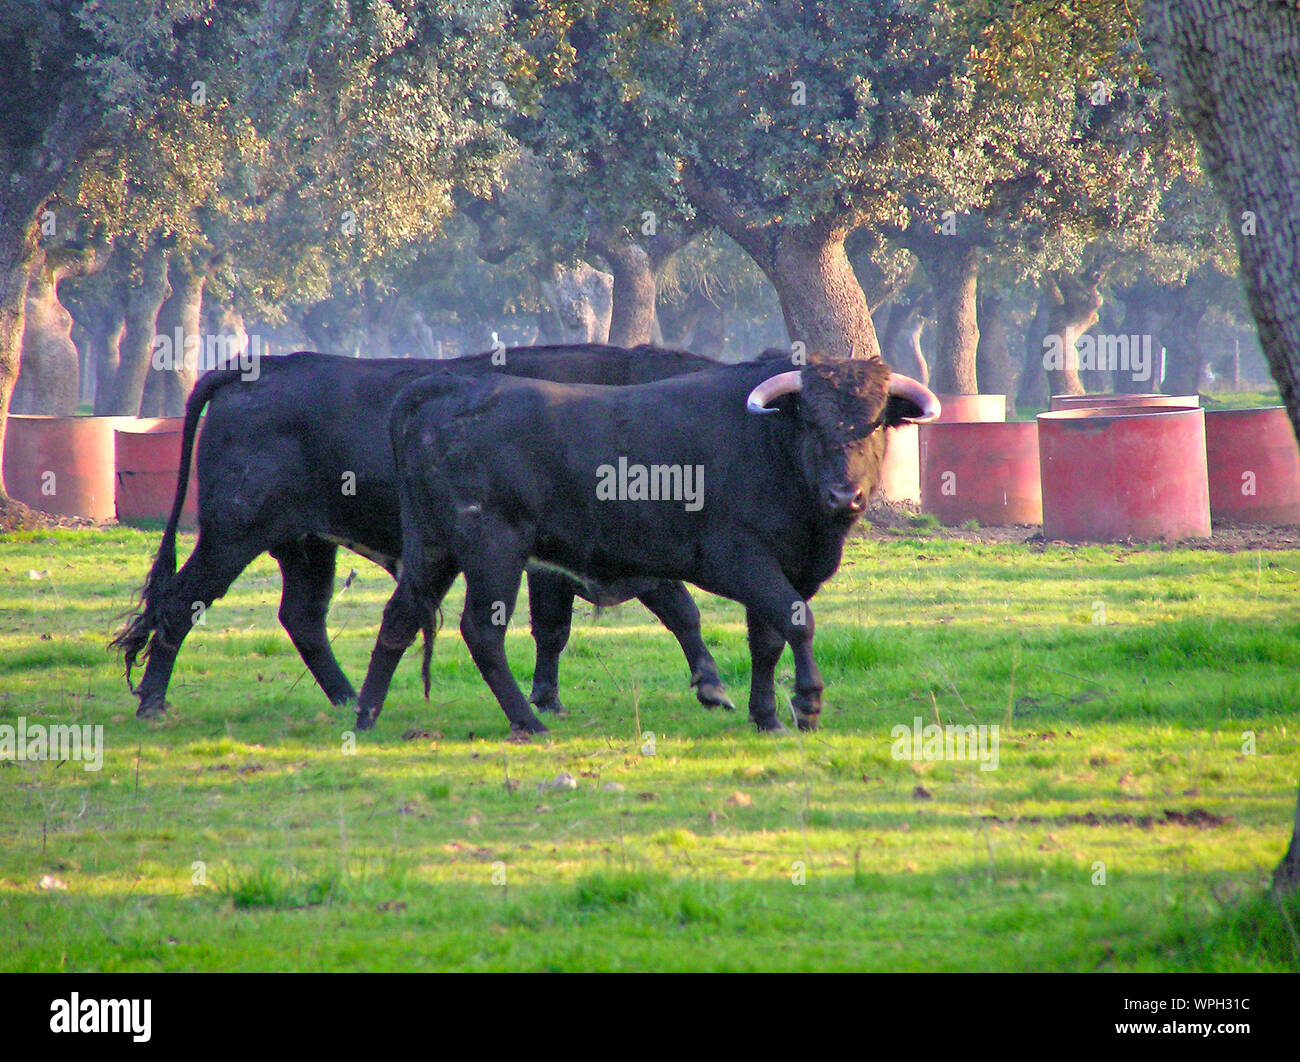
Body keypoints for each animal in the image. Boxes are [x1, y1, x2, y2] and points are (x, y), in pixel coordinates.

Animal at [111, 344, 744, 724]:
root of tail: (261, 367)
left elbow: (611, 621)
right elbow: (658, 611)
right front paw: (711, 686)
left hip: (307, 544)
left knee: (302, 617)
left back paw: (348, 699)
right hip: (232, 534)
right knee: (181, 601)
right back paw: (153, 703)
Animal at [355, 352, 940, 737]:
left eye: (874, 423)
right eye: (812, 423)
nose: (846, 494)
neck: (771, 445)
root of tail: (445, 390)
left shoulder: (782, 569)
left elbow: (767, 640)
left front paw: (766, 715)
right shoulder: (742, 561)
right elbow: (797, 621)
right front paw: (807, 703)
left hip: (433, 551)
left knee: (399, 617)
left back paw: (365, 716)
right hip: (492, 551)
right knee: (481, 631)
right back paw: (527, 720)